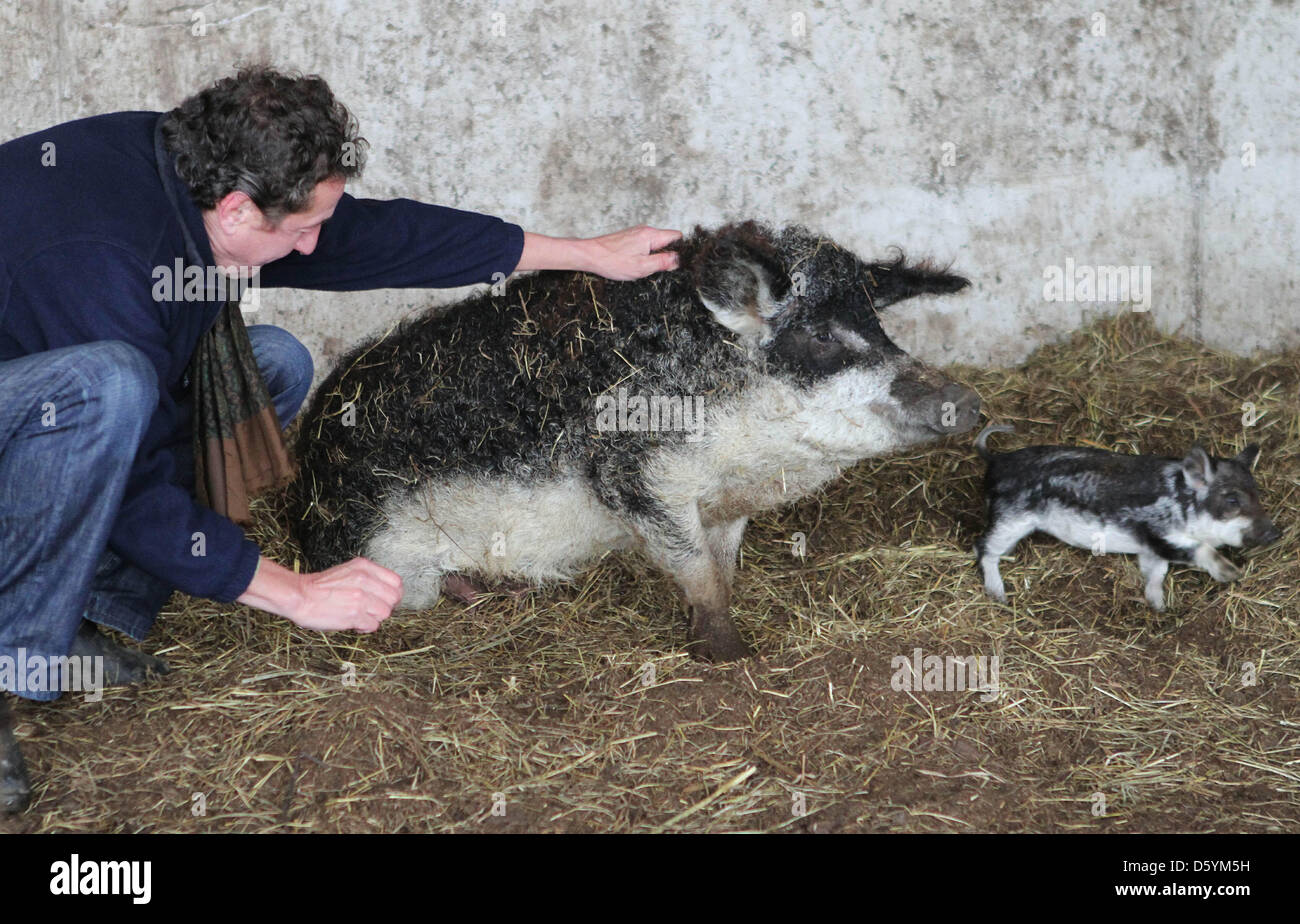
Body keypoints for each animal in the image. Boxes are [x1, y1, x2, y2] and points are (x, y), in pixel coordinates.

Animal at [287, 221, 981, 661]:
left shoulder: (726, 504)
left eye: (880, 327)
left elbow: (725, 564)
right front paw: (730, 657)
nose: (968, 401)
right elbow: (697, 570)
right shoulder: (637, 476)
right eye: (822, 337)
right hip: (394, 563)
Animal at [974, 424, 1282, 611]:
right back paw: (999, 596)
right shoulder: (1160, 535)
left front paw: (1159, 608)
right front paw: (1232, 574)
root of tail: (996, 459)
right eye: (1232, 500)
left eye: (1257, 494)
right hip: (1010, 517)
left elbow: (1156, 573)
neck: (1178, 502)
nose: (1276, 532)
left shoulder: (1151, 549)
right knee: (982, 547)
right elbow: (1198, 550)